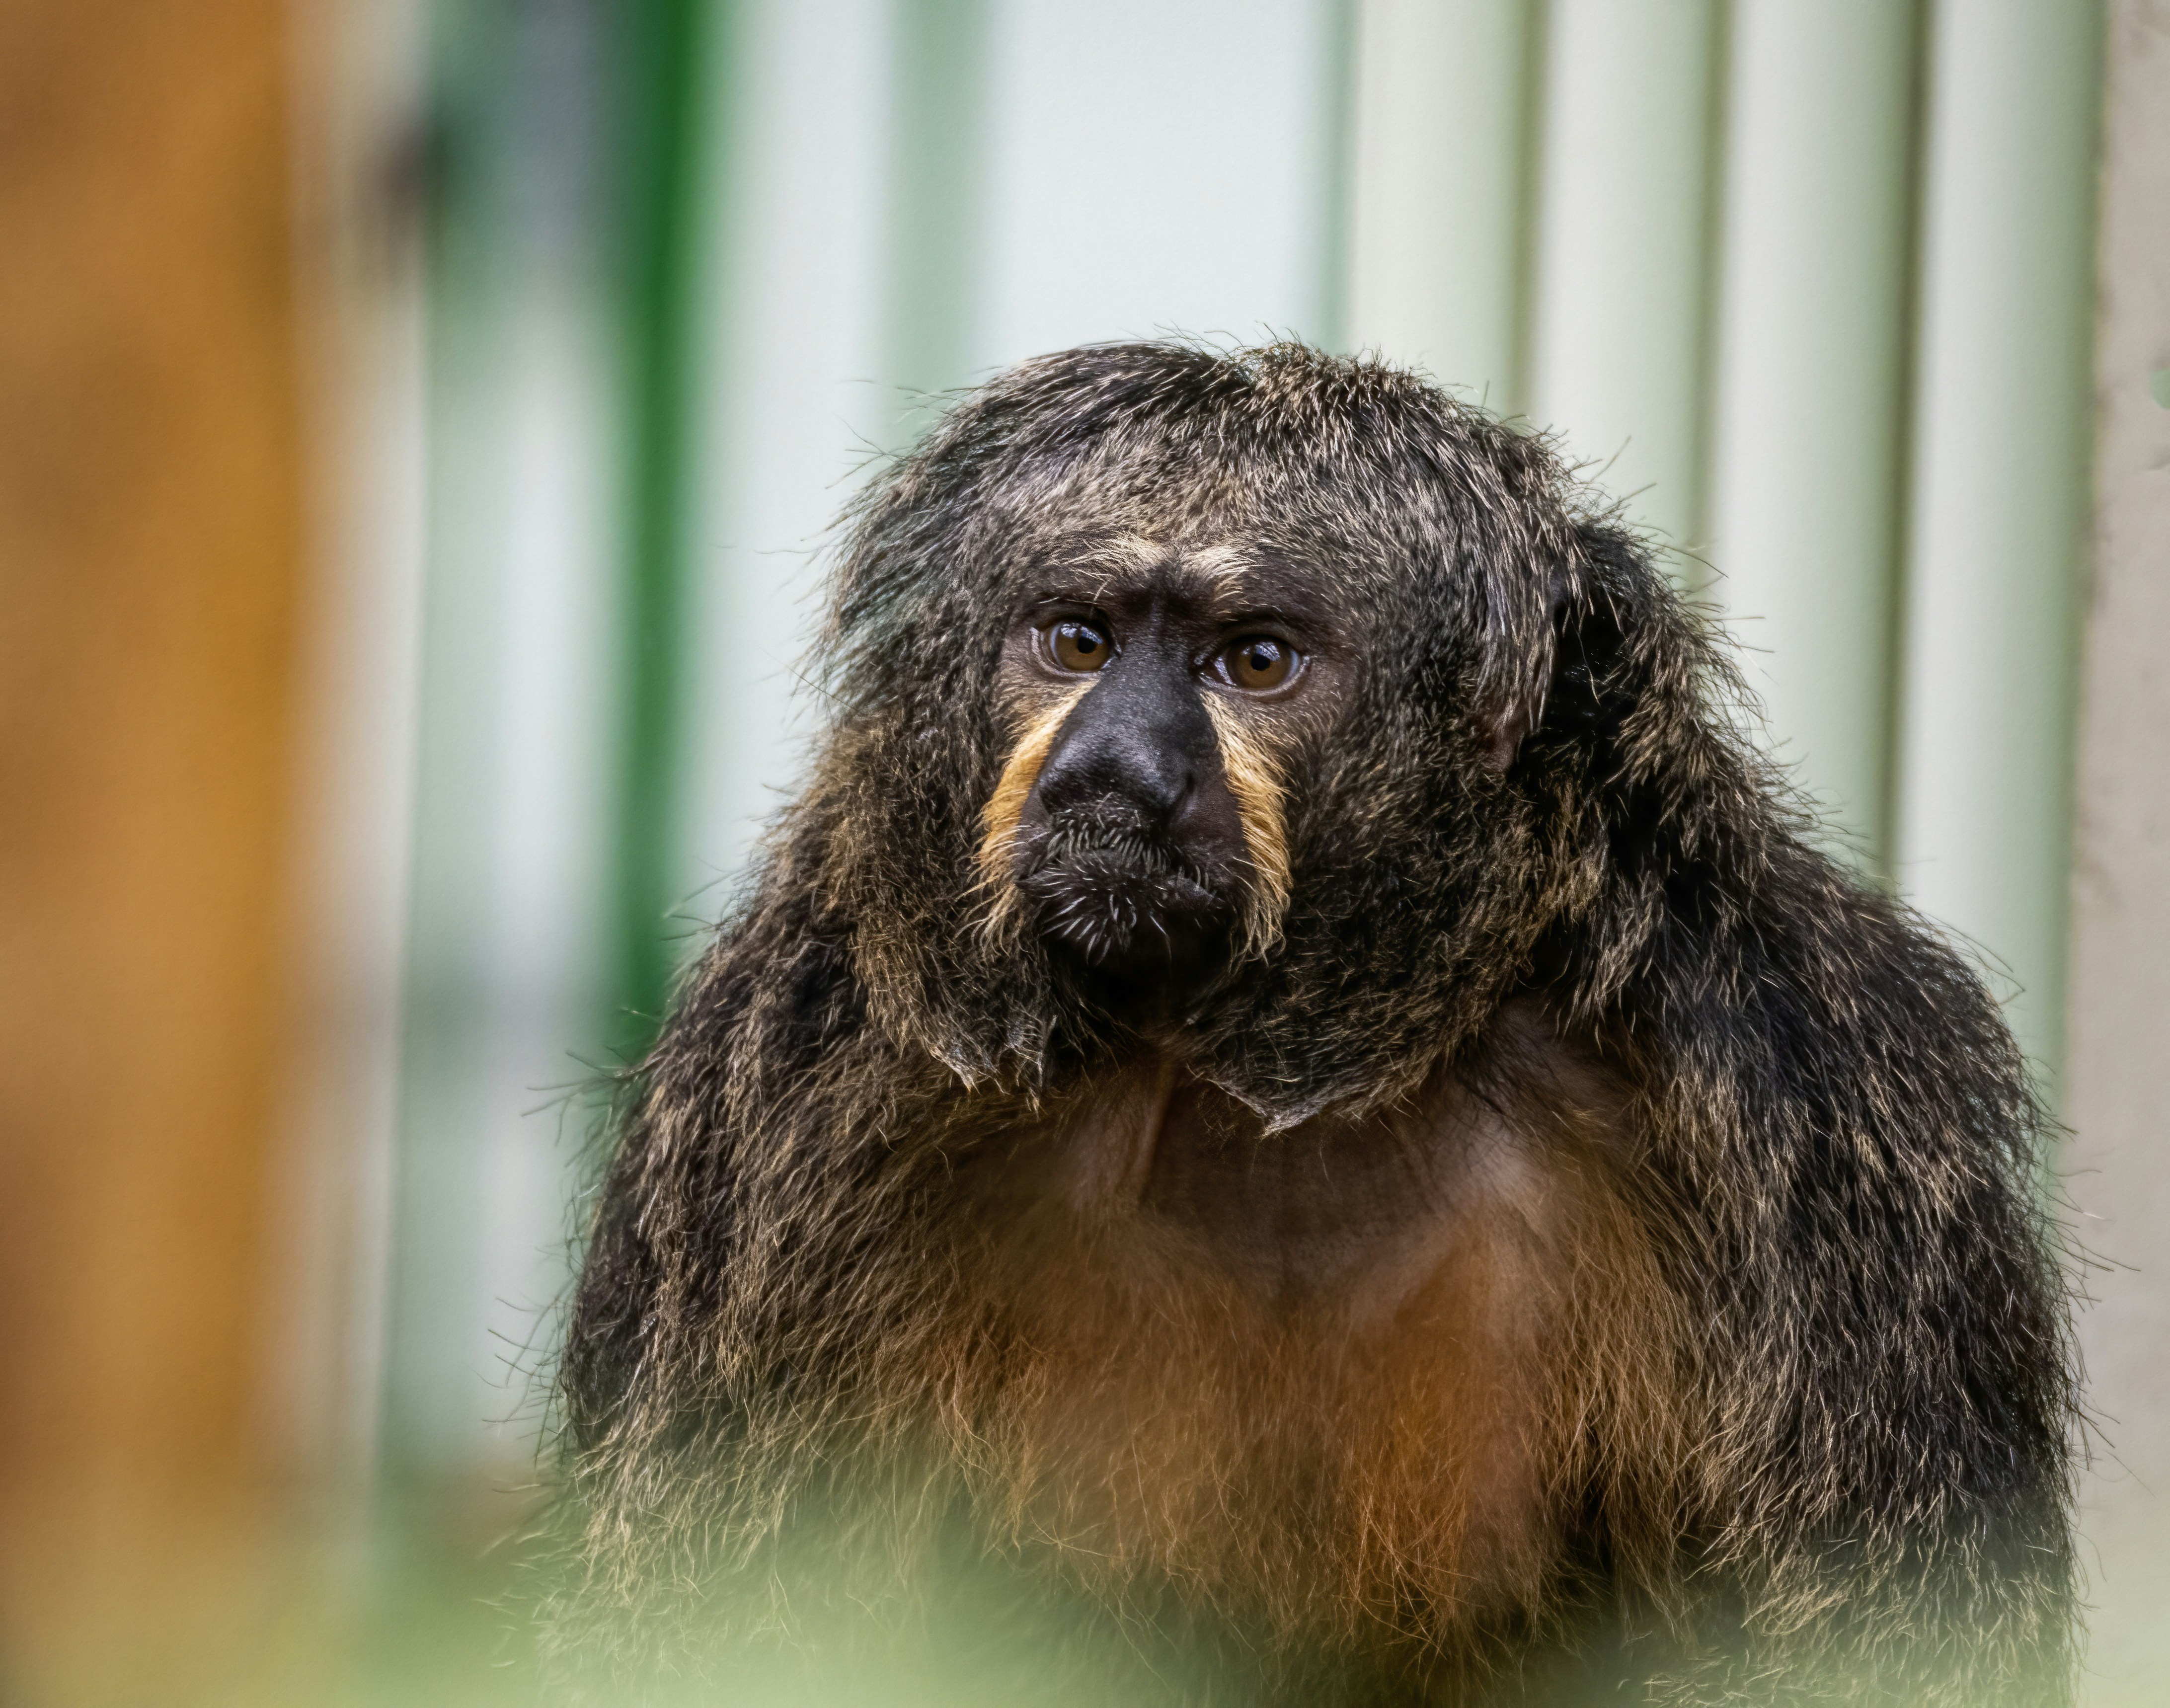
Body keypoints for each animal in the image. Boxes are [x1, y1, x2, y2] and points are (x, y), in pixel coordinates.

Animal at [548, 341, 2077, 1705]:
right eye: (1078, 642)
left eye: (1257, 661)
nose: (1112, 774)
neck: (1249, 1079)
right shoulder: (782, 1089)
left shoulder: (1815, 1115)